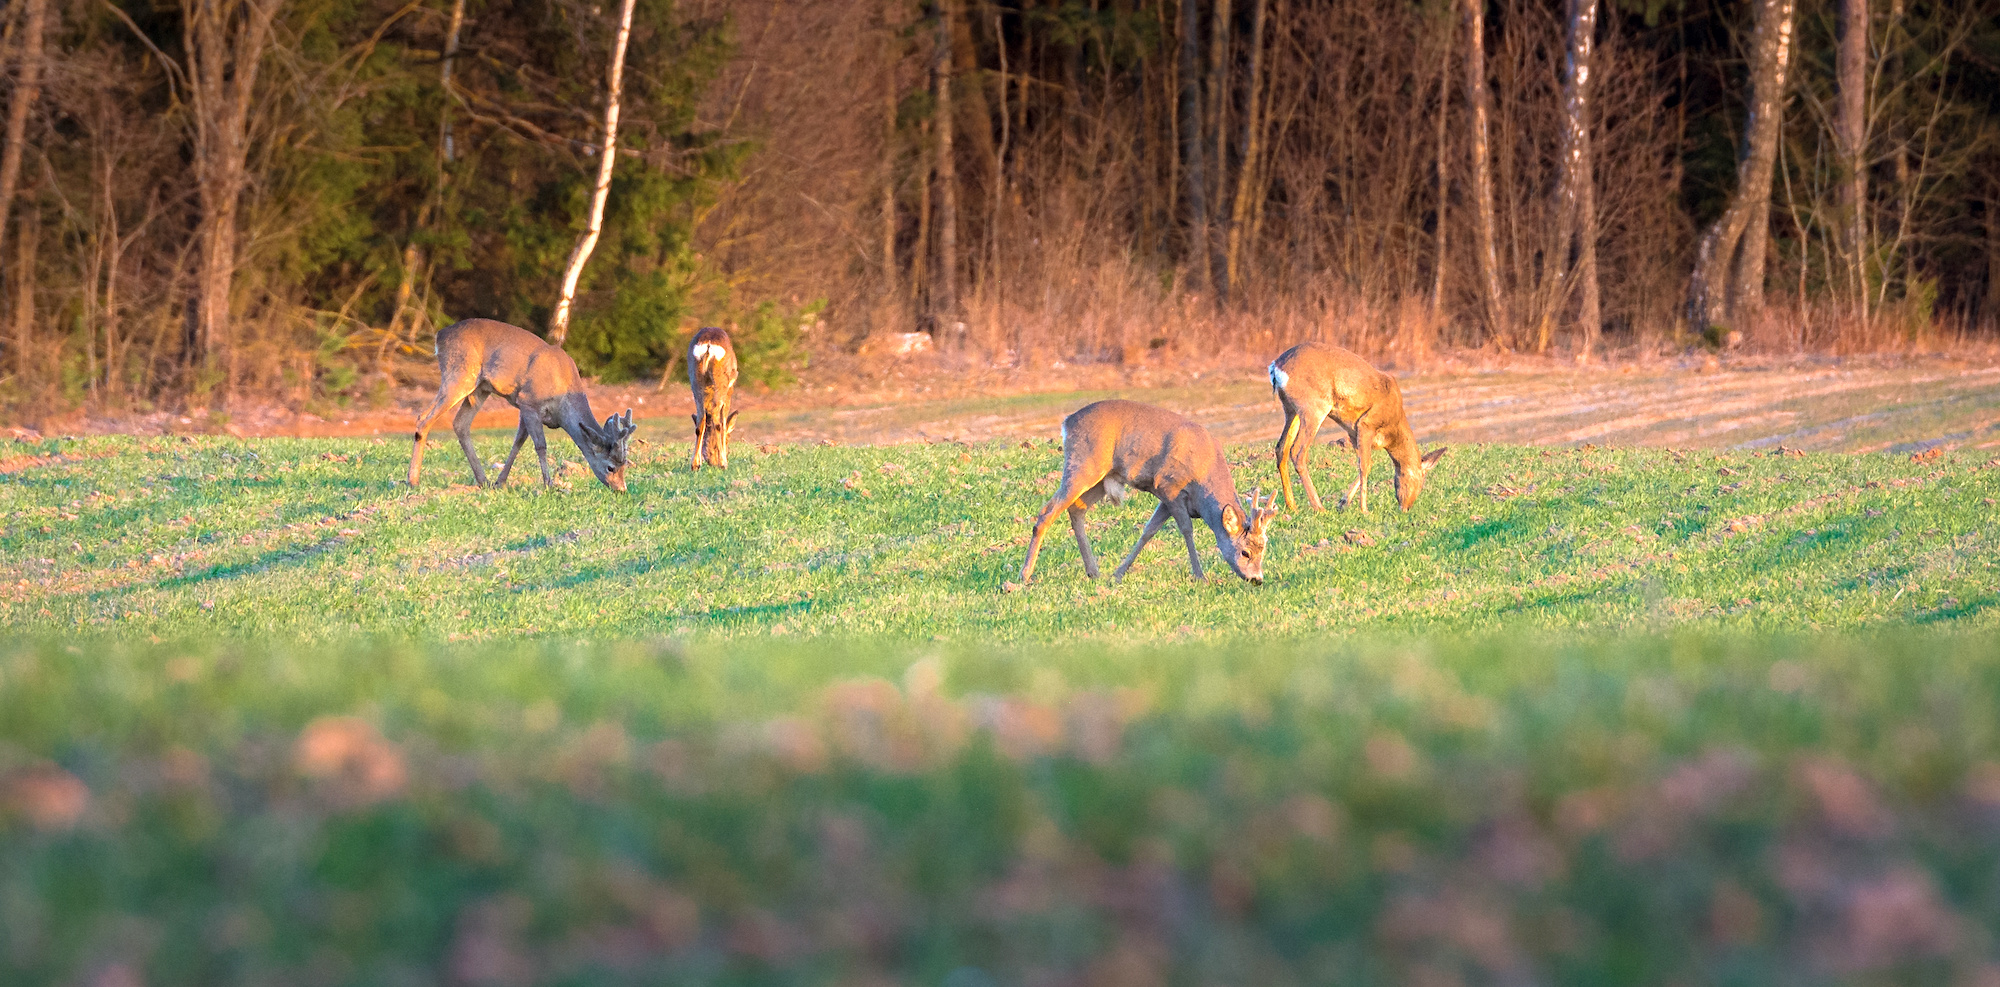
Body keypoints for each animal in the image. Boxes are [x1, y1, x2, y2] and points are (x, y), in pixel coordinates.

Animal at [407, 318, 637, 492]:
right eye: (610, 468)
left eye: (625, 465)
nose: (621, 489)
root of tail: (439, 336)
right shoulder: (529, 401)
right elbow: (540, 445)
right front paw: (549, 484)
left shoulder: (527, 409)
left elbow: (518, 443)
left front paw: (500, 482)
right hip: (460, 373)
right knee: (424, 418)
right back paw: (413, 480)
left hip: (481, 388)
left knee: (460, 424)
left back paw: (483, 480)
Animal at [687, 326, 738, 469]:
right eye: (729, 439)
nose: (712, 462)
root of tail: (708, 345)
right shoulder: (729, 391)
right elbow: (724, 422)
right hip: (722, 382)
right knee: (717, 420)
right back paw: (723, 463)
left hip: (695, 380)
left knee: (700, 420)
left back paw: (695, 465)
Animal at [1020, 400, 1280, 585]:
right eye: (1245, 552)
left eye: (1264, 550)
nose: (1257, 579)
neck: (1204, 473)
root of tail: (1067, 422)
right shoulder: (1169, 485)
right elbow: (1186, 529)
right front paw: (1200, 577)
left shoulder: (1166, 498)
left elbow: (1148, 531)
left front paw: (1118, 574)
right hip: (1083, 465)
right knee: (1047, 511)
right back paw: (1025, 575)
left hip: (1100, 478)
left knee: (1075, 509)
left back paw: (1094, 572)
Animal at [1268, 341, 1448, 513]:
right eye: (1419, 483)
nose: (1405, 508)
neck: (1393, 427)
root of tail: (1277, 366)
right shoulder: (1366, 424)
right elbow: (1365, 466)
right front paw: (1364, 510)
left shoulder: (1353, 432)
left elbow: (1365, 462)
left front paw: (1343, 503)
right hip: (1314, 407)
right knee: (1297, 452)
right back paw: (1319, 507)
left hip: (1291, 410)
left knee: (1281, 448)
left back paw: (1292, 506)